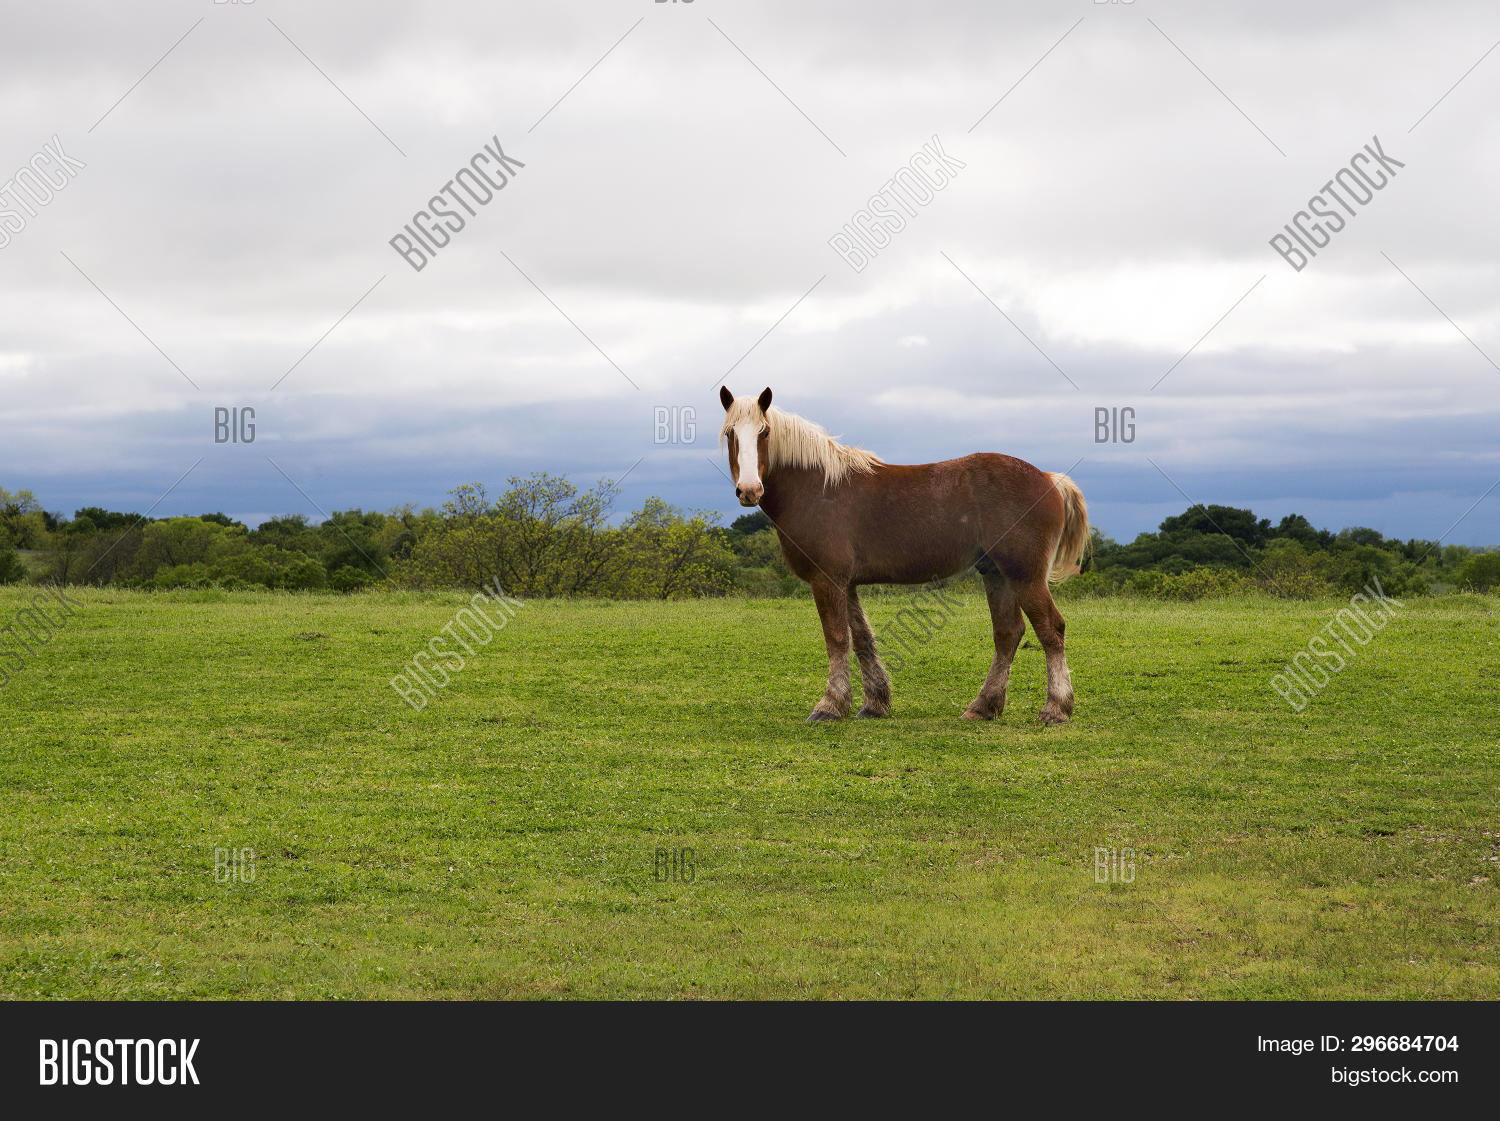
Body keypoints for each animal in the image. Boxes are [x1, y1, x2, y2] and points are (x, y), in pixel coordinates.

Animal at [719, 385, 1089, 724]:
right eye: (730, 434)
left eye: (764, 432)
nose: (749, 490)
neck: (818, 488)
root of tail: (1049, 479)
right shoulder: (847, 583)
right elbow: (862, 640)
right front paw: (874, 703)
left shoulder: (827, 580)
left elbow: (837, 639)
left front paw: (830, 706)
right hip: (998, 575)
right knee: (1008, 634)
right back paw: (984, 706)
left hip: (1025, 576)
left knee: (1051, 629)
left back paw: (1055, 708)